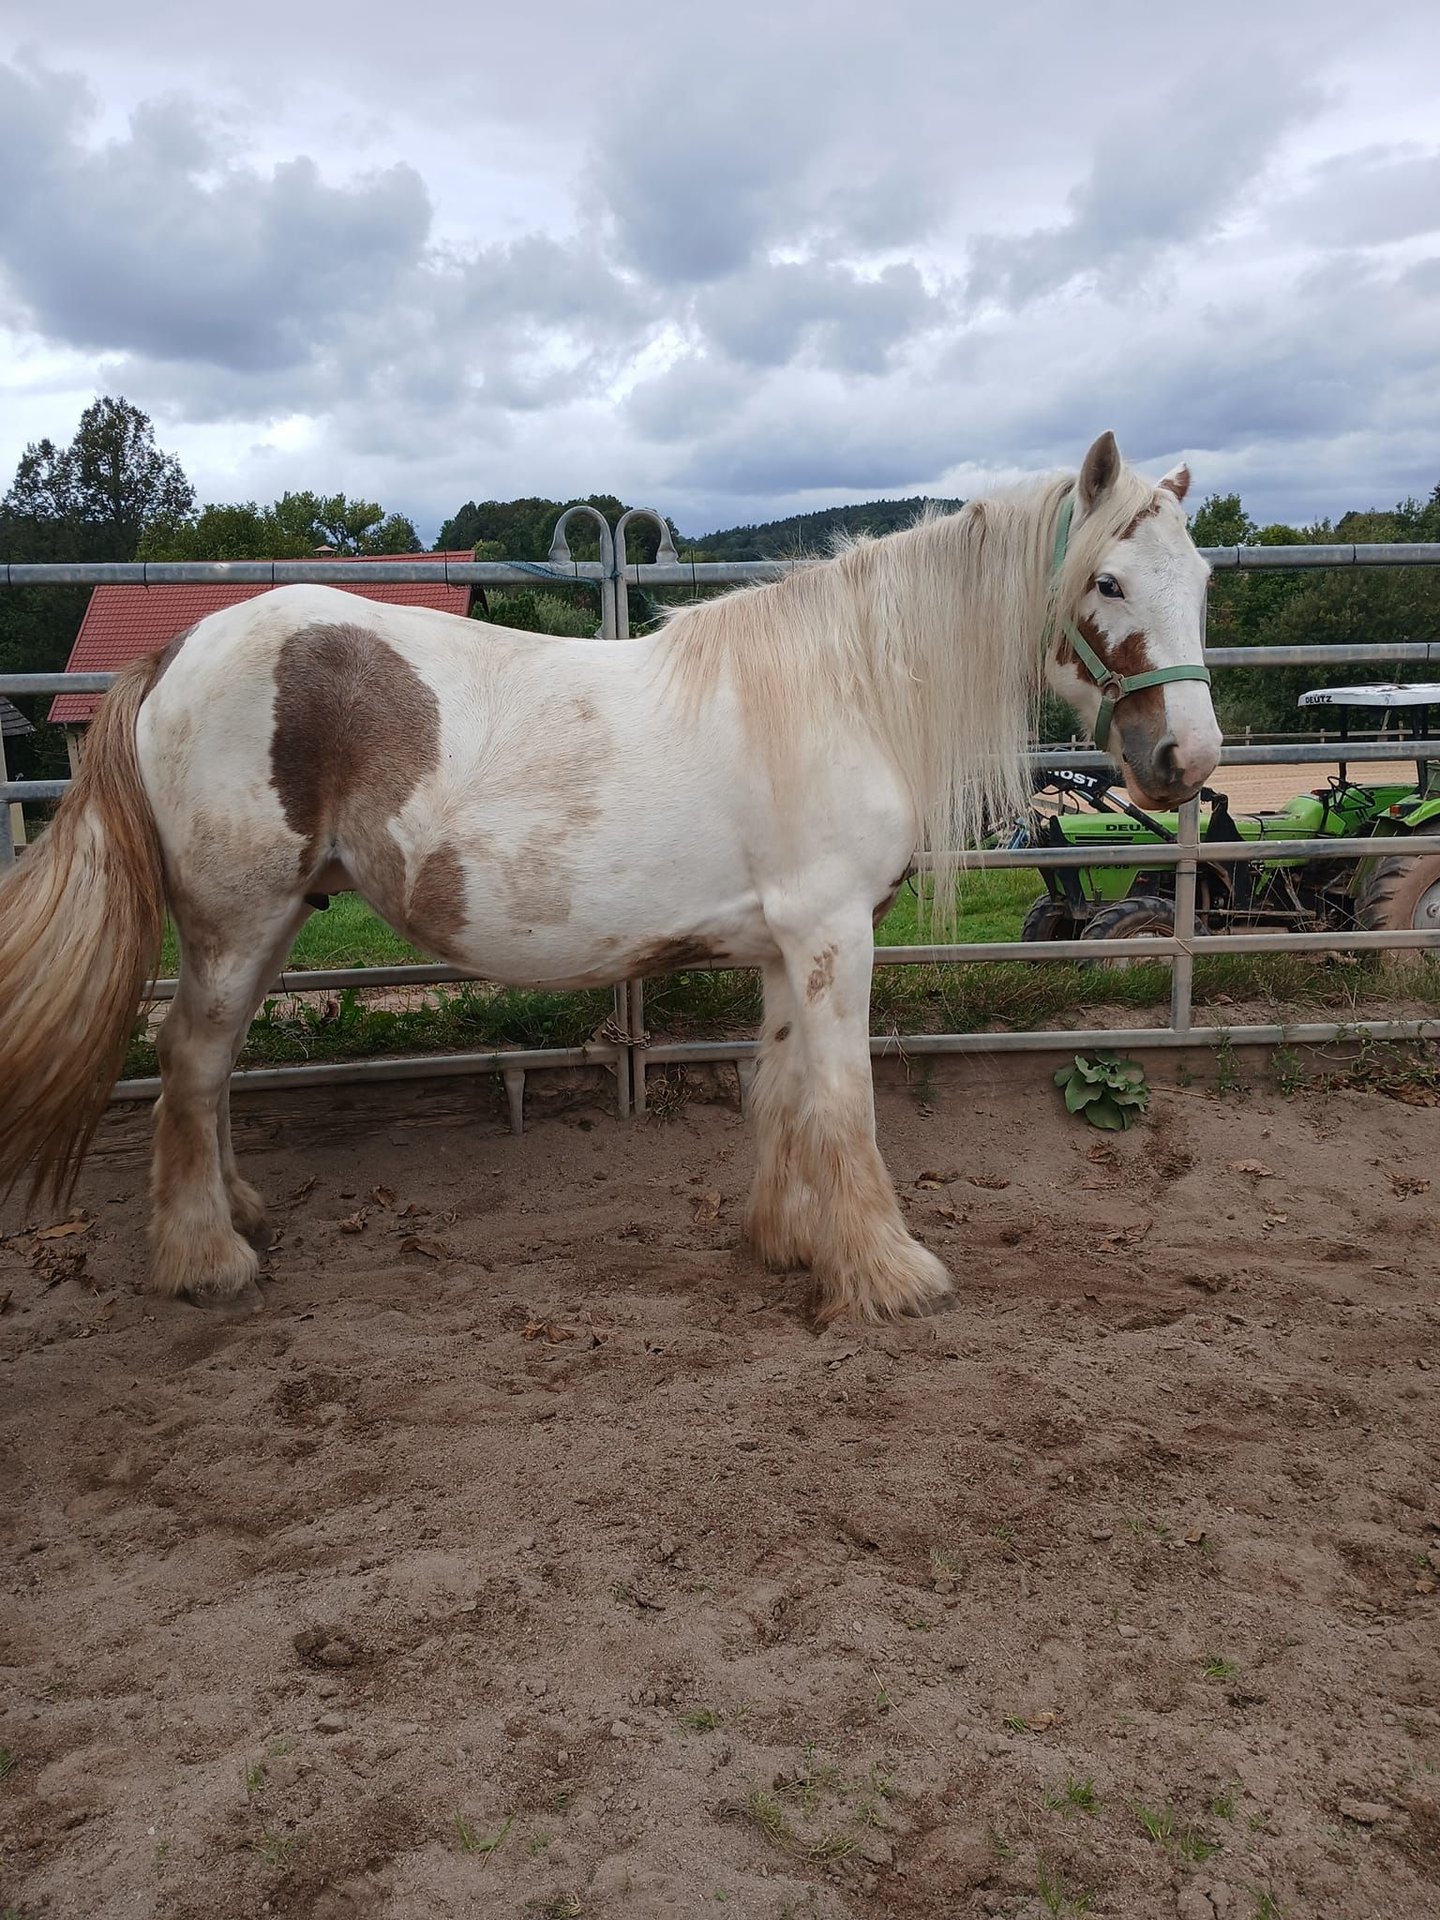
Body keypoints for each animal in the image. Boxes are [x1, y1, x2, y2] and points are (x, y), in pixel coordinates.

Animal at [0, 431, 1220, 1323]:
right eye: (1109, 580)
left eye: (1204, 580)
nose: (1186, 760)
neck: (843, 692)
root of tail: (181, 648)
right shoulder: (834, 934)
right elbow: (845, 1101)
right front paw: (890, 1275)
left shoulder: (786, 947)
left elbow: (783, 1090)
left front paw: (791, 1244)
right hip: (235, 918)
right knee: (190, 1059)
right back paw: (204, 1258)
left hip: (272, 921)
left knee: (211, 1065)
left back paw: (237, 1214)